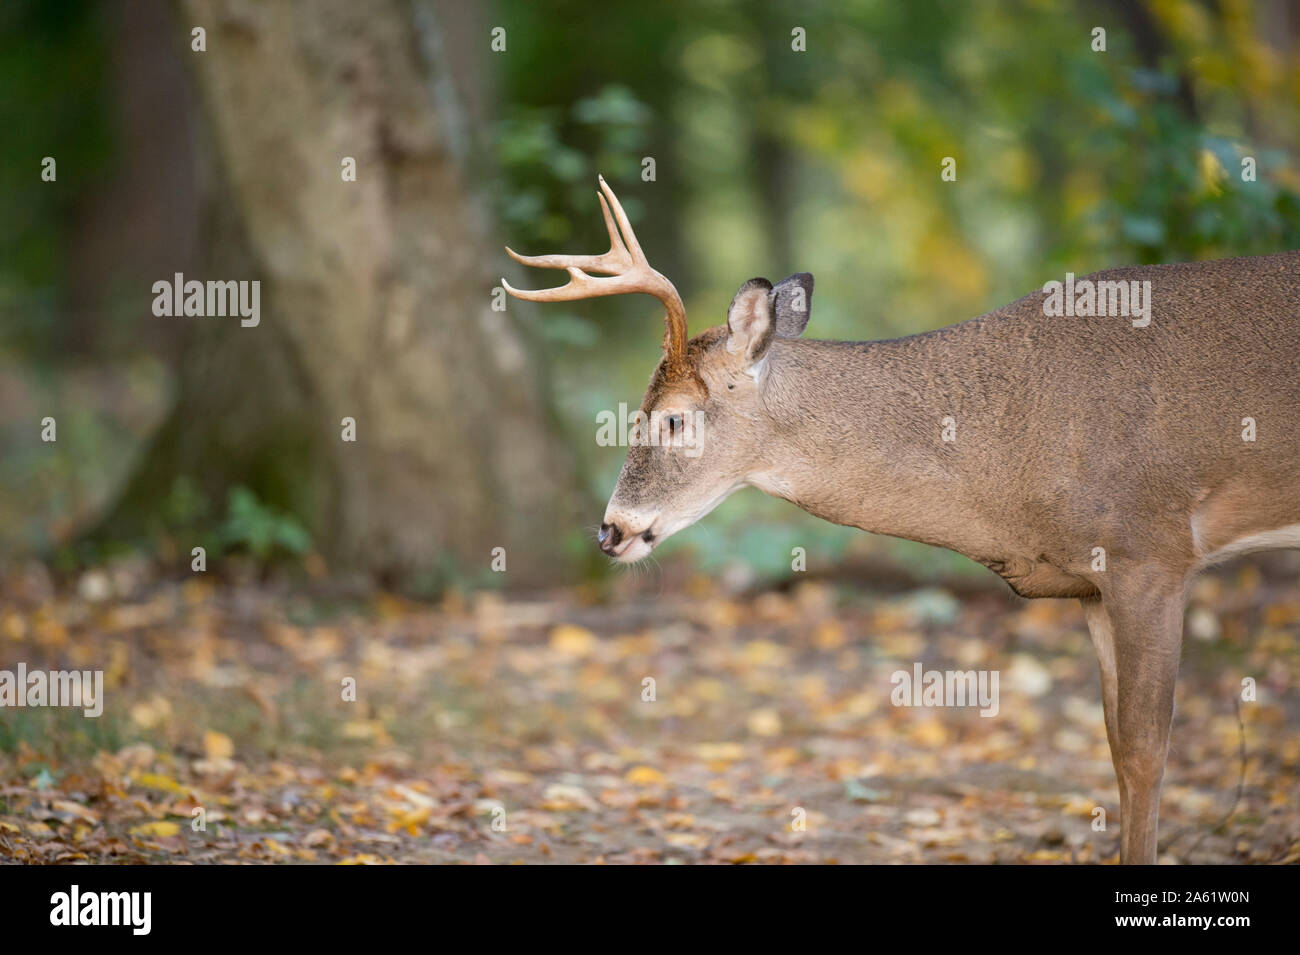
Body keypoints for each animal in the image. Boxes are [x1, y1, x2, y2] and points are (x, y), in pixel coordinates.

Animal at [503, 176, 1300, 864]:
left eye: (672, 418)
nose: (610, 530)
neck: (1011, 454)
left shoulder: (1152, 552)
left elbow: (1144, 753)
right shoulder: (1094, 583)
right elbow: (1114, 745)